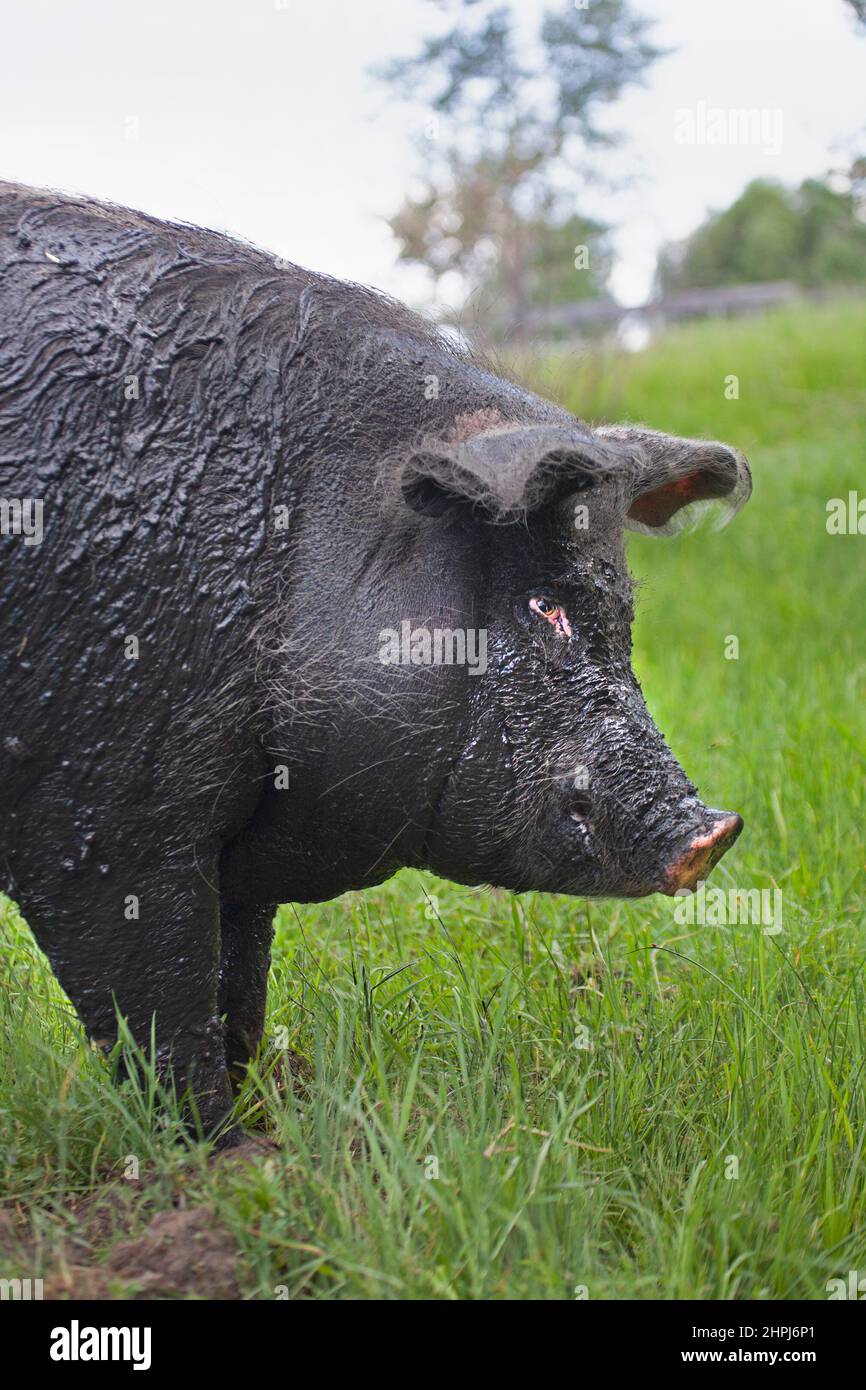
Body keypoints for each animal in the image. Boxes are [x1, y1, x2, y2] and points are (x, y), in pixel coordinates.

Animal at [0, 184, 749, 1140]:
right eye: (539, 603)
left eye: (620, 606)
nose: (714, 832)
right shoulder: (97, 813)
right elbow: (160, 1004)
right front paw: (218, 1149)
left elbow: (240, 980)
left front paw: (263, 1115)